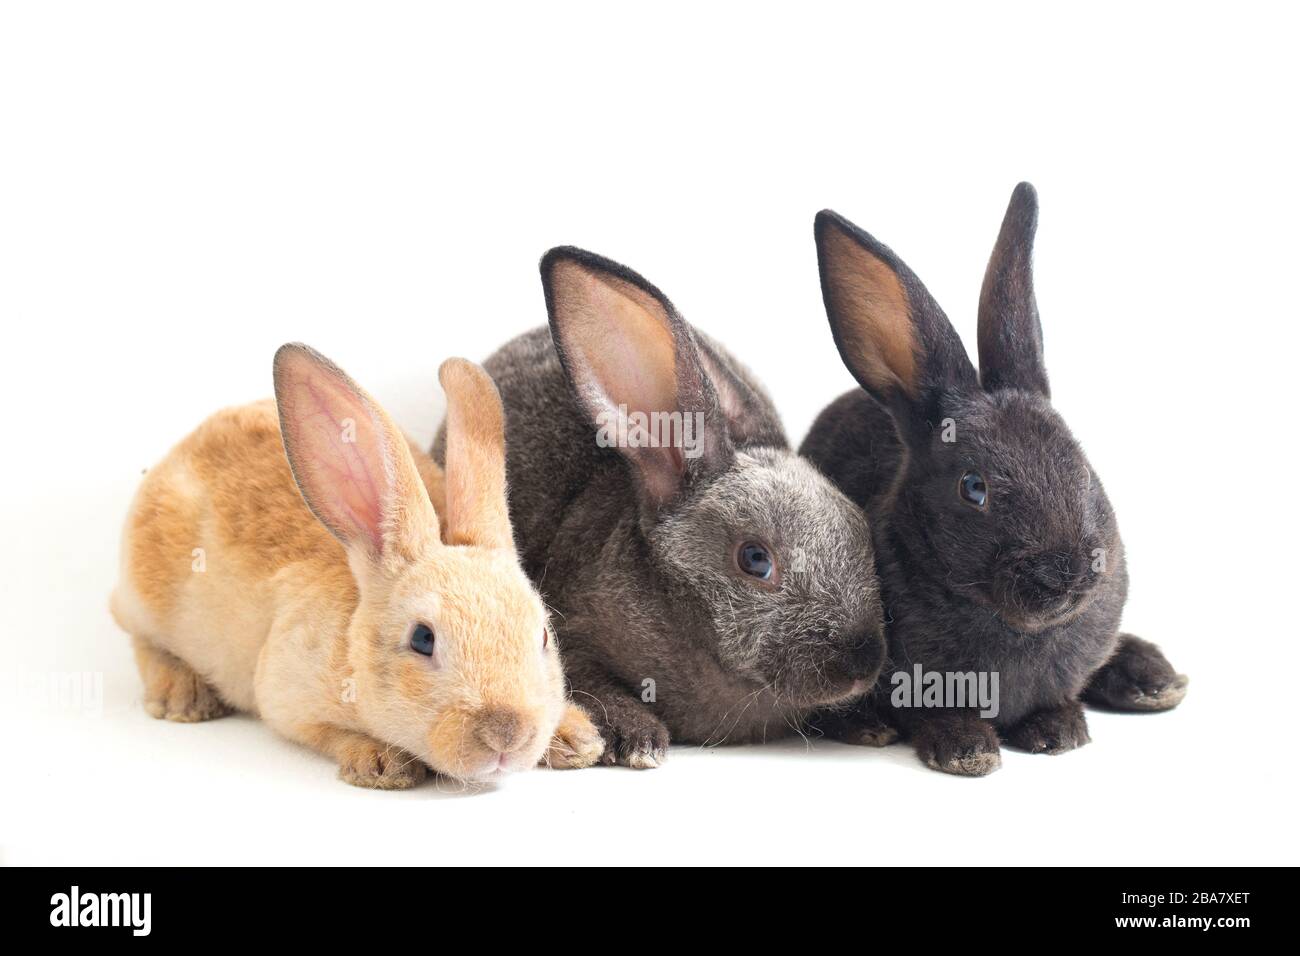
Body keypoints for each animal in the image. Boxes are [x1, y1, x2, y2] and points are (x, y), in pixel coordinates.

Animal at [110, 344, 604, 788]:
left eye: (543, 635)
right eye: (422, 639)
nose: (506, 734)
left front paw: (579, 740)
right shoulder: (285, 699)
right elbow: (324, 732)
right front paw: (380, 763)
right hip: (147, 599)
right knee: (138, 637)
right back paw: (182, 698)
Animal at [799, 183, 1188, 776]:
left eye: (1080, 463)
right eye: (973, 488)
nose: (1066, 574)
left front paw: (1059, 732)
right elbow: (933, 713)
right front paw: (967, 749)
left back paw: (1155, 681)